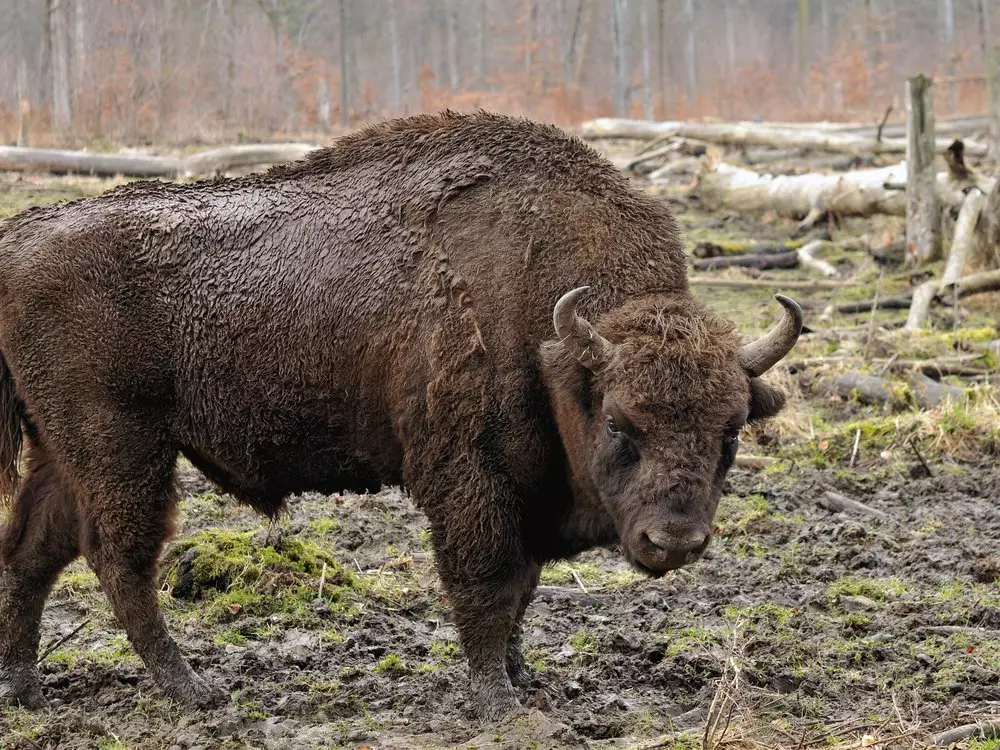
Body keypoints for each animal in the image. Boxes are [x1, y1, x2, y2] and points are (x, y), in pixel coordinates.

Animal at [0, 110, 800, 716]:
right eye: (618, 422)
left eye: (732, 430)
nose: (675, 540)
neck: (550, 335)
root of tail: (21, 238)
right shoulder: (471, 480)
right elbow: (488, 583)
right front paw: (496, 700)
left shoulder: (527, 493)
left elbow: (523, 588)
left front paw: (521, 678)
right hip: (121, 445)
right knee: (117, 558)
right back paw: (193, 689)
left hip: (63, 450)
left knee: (34, 550)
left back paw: (25, 689)